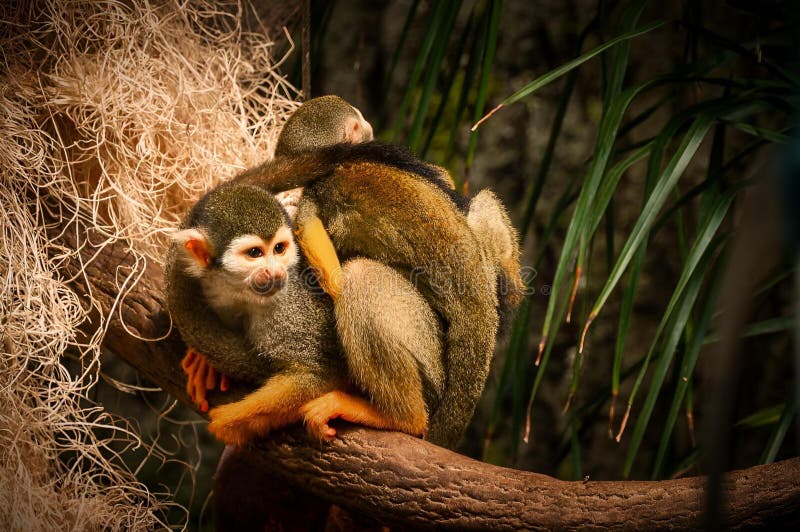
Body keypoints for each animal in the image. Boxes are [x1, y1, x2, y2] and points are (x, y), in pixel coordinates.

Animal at [166, 182, 446, 445]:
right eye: (255, 253)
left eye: (279, 248)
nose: (276, 273)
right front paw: (204, 365)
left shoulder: (289, 309)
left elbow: (323, 371)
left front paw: (233, 420)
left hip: (423, 336)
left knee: (360, 276)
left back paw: (401, 417)